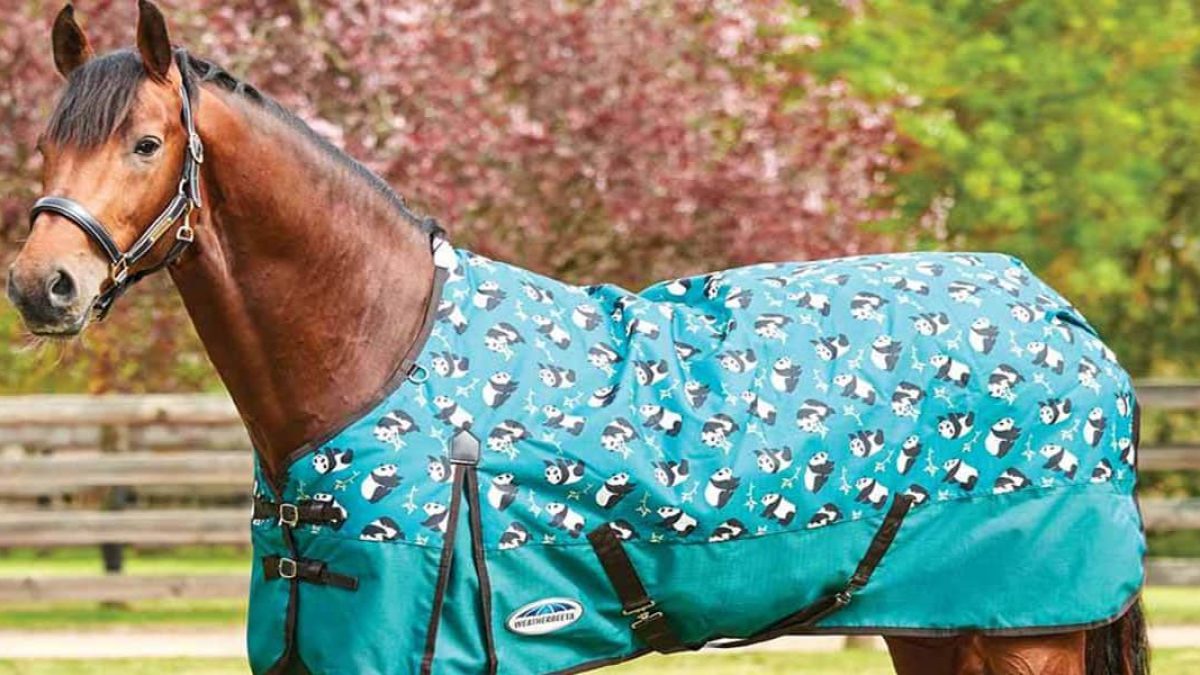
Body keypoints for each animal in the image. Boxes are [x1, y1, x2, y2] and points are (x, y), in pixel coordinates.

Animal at [7, 3, 1148, 674]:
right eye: (46, 142)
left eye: (146, 142)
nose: (40, 285)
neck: (378, 353)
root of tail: (1060, 315)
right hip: (937, 627)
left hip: (1031, 631)